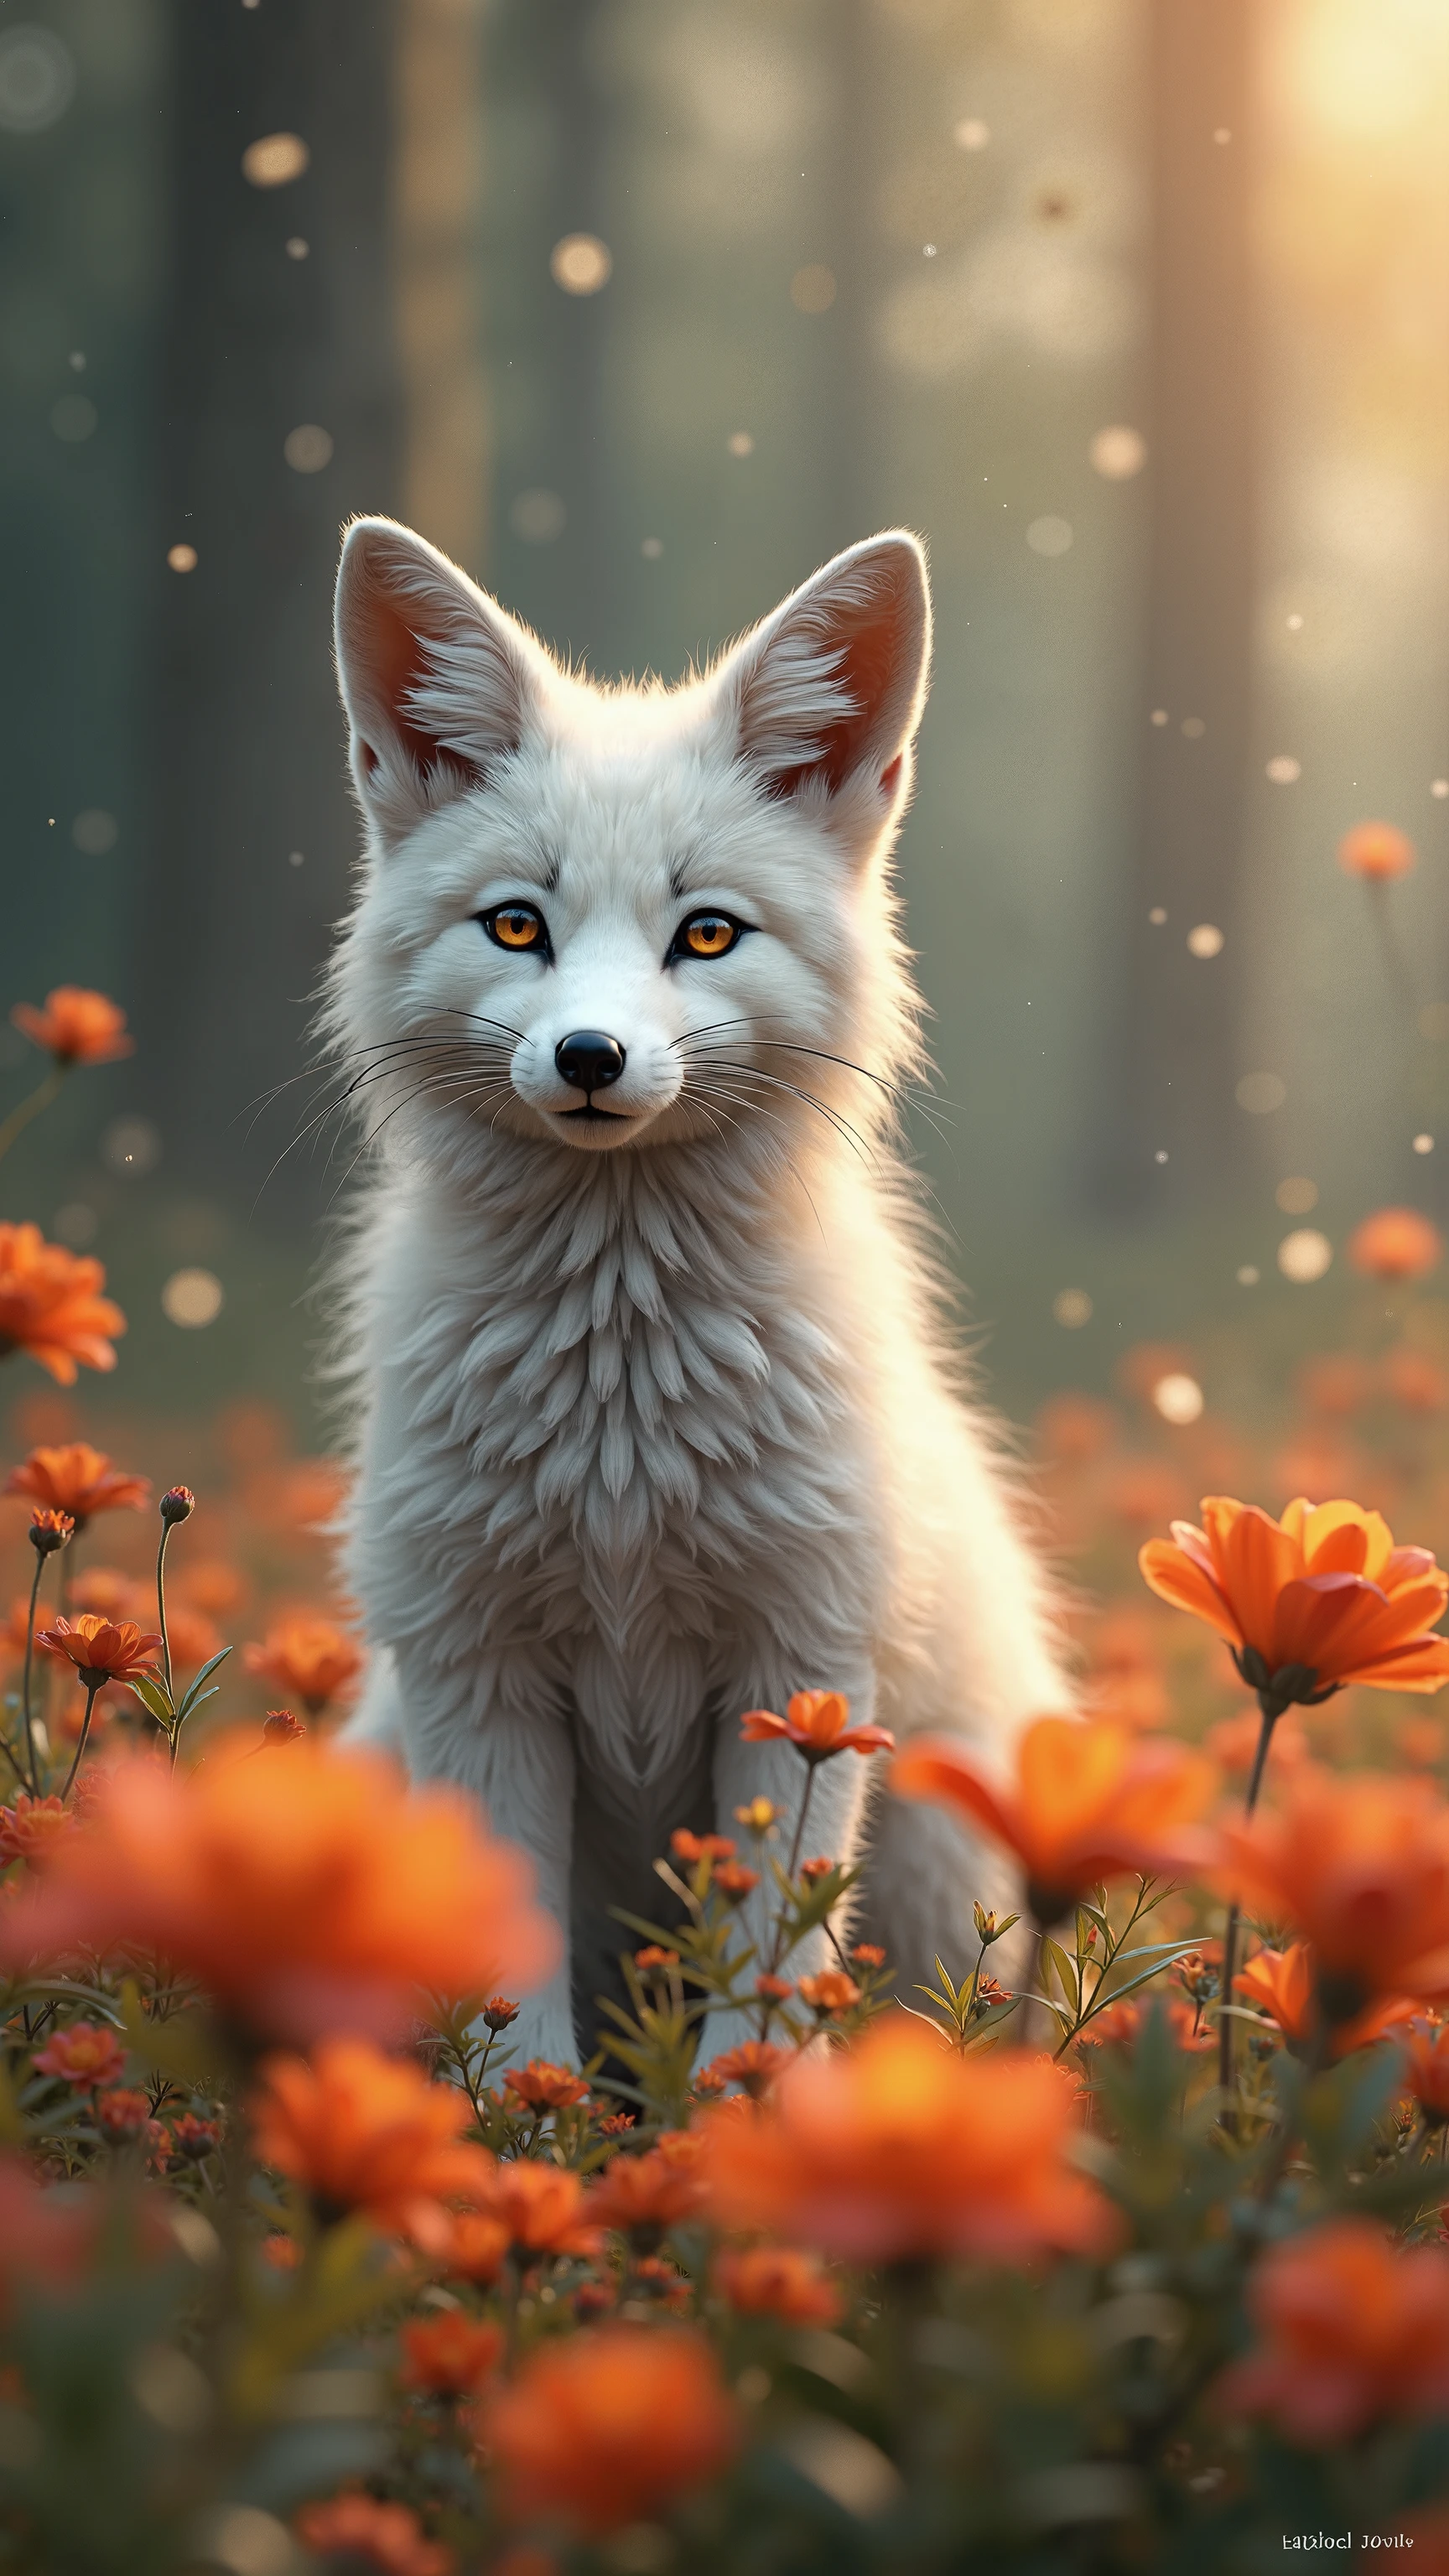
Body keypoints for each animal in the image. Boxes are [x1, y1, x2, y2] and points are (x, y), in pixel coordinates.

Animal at [325, 515, 1072, 2066]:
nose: (591, 1057)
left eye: (709, 934)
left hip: (937, 1871)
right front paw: (521, 2132)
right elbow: (517, 2008)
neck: (622, 1425)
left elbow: (765, 1989)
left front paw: (740, 2124)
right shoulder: (474, 1663)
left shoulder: (803, 1671)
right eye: (515, 927)